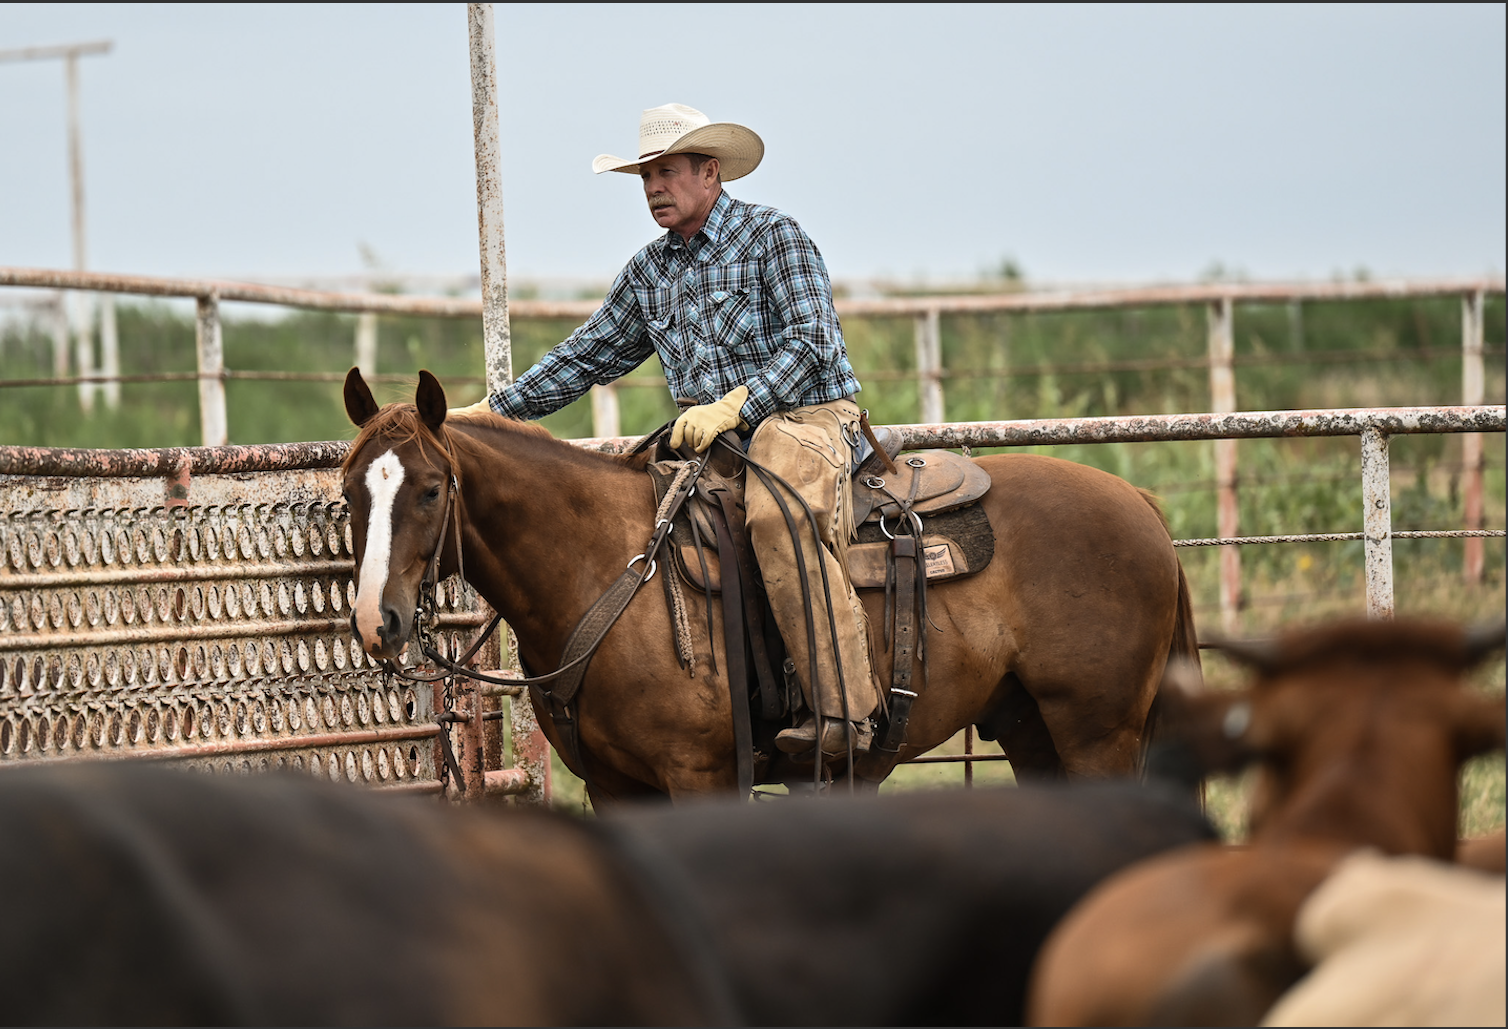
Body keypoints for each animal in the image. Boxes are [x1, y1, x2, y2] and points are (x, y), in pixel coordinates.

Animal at [340, 368, 1200, 804]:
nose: (378, 622)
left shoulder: (700, 778)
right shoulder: (617, 786)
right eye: (350, 490)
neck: (606, 568)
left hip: (1099, 731)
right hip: (1031, 727)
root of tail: (1141, 505)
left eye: (429, 489)